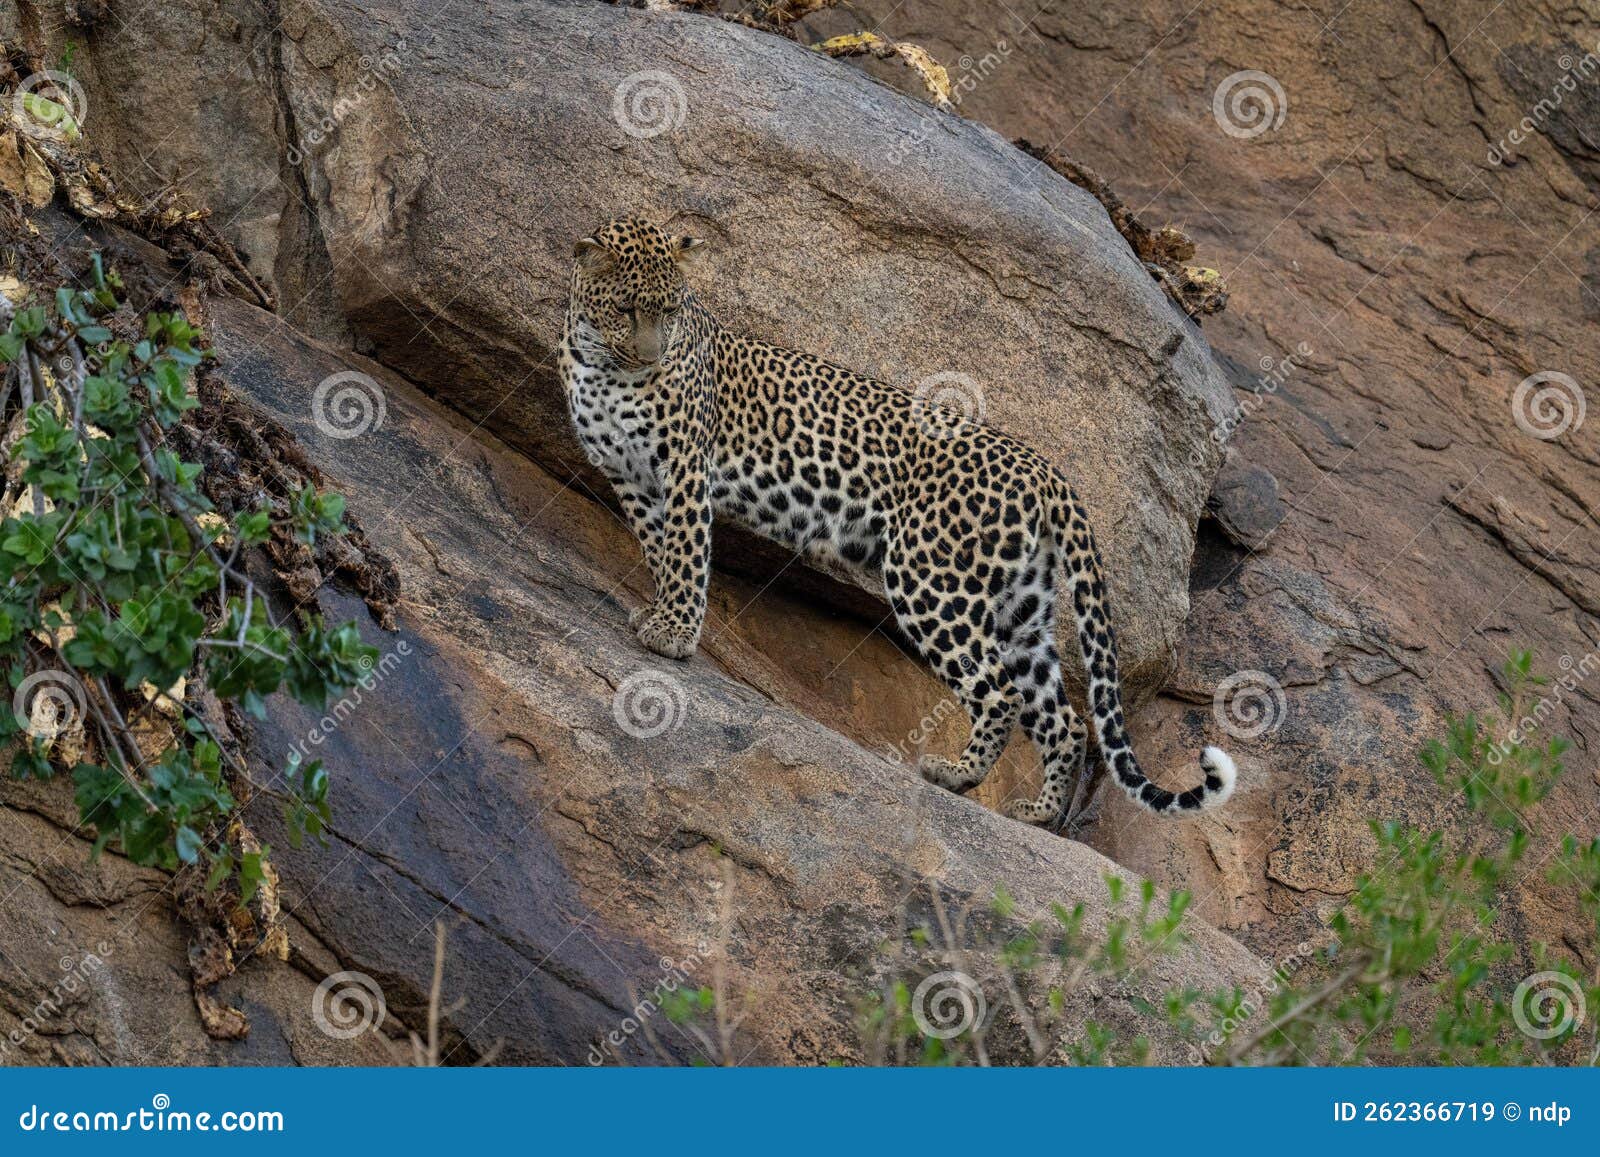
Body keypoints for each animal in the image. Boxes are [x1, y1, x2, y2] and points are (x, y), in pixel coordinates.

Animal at [557, 215, 1235, 826]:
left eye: (671, 310)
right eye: (627, 310)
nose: (651, 358)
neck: (602, 366)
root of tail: (1046, 471)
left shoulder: (684, 471)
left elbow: (685, 553)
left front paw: (673, 636)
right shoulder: (629, 479)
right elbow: (657, 549)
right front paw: (659, 614)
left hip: (930, 578)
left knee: (1000, 692)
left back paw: (955, 774)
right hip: (1021, 606)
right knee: (1061, 716)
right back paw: (1038, 813)